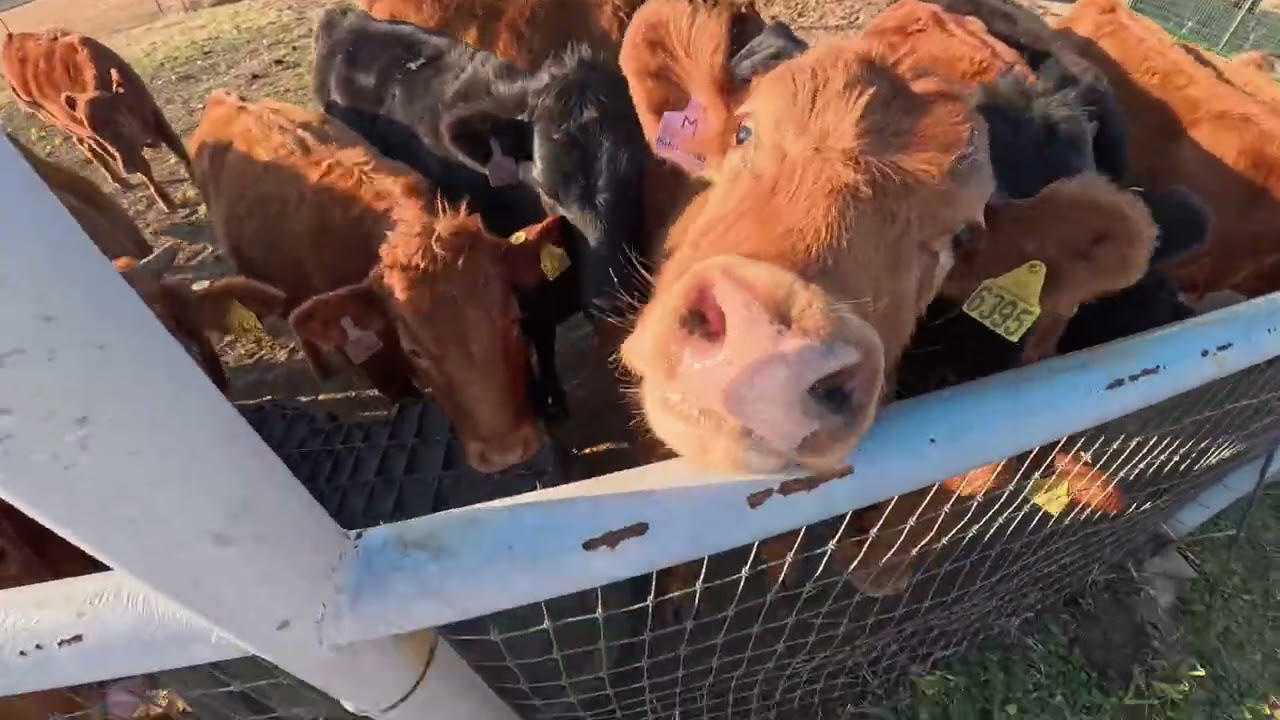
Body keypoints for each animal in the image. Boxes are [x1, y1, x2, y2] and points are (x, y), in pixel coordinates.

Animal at [1, 30, 190, 211]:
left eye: (121, 123)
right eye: (100, 135)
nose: (128, 168)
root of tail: (10, 42)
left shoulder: (155, 115)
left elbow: (179, 149)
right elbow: (145, 169)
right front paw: (168, 203)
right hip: (61, 123)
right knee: (89, 147)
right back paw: (121, 182)